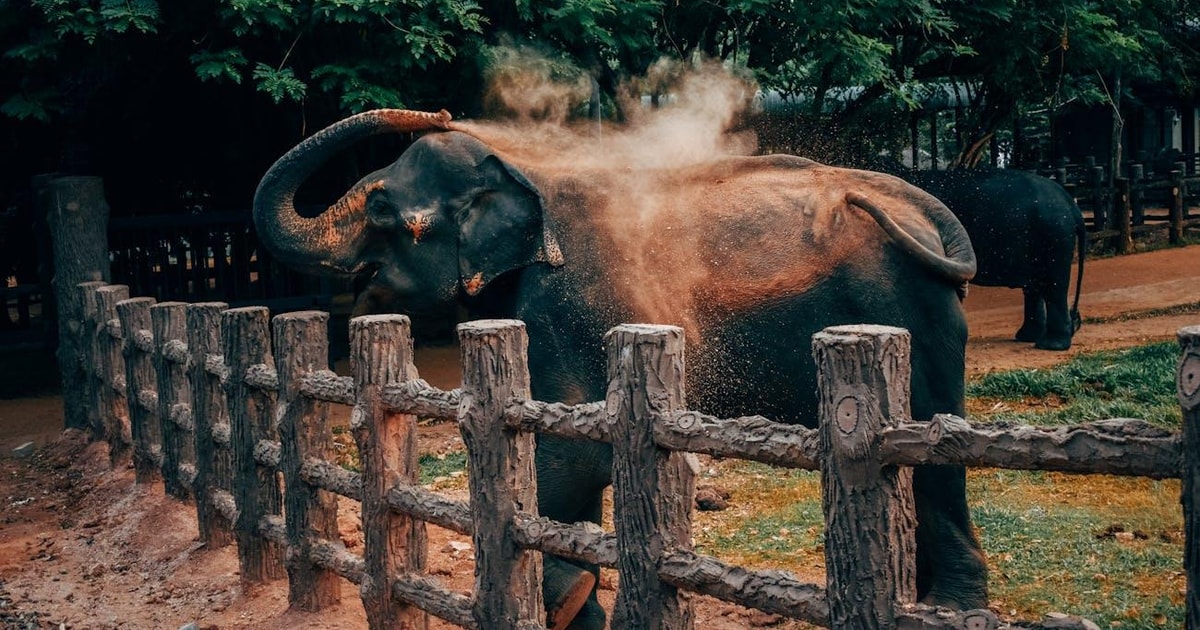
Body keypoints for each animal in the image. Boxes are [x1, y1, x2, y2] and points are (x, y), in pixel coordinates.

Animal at [253, 108, 988, 628]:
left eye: (381, 210)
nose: (436, 110)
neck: (522, 170)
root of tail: (928, 208)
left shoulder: (574, 300)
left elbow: (578, 455)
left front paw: (564, 598)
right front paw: (577, 605)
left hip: (910, 311)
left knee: (932, 456)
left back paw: (949, 610)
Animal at [896, 168, 1086, 351]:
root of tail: (1071, 204)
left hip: (1055, 235)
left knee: (1054, 284)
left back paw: (1050, 345)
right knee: (1035, 285)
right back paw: (1028, 337)